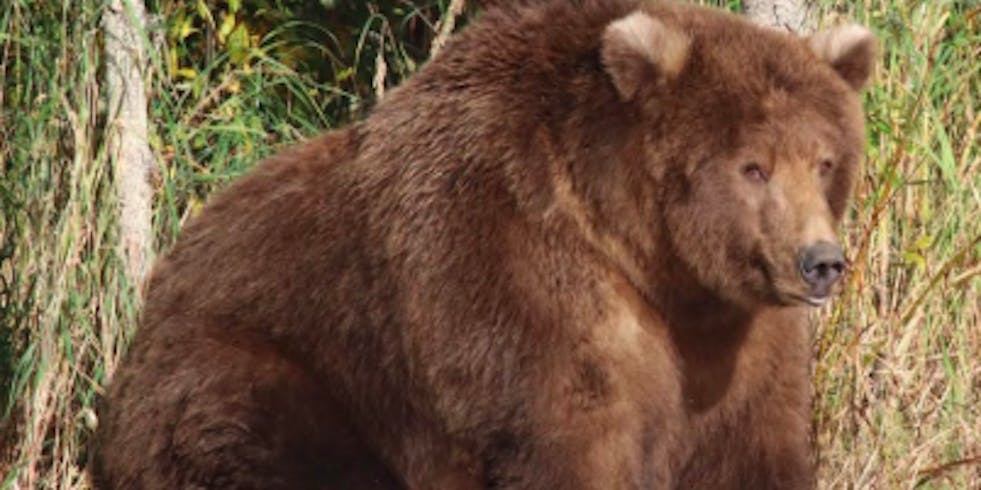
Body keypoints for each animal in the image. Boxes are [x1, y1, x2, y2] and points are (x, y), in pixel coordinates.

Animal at [90, 0, 876, 488]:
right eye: (753, 166)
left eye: (824, 160)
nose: (820, 262)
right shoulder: (516, 273)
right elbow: (571, 435)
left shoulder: (738, 342)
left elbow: (752, 446)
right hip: (263, 366)